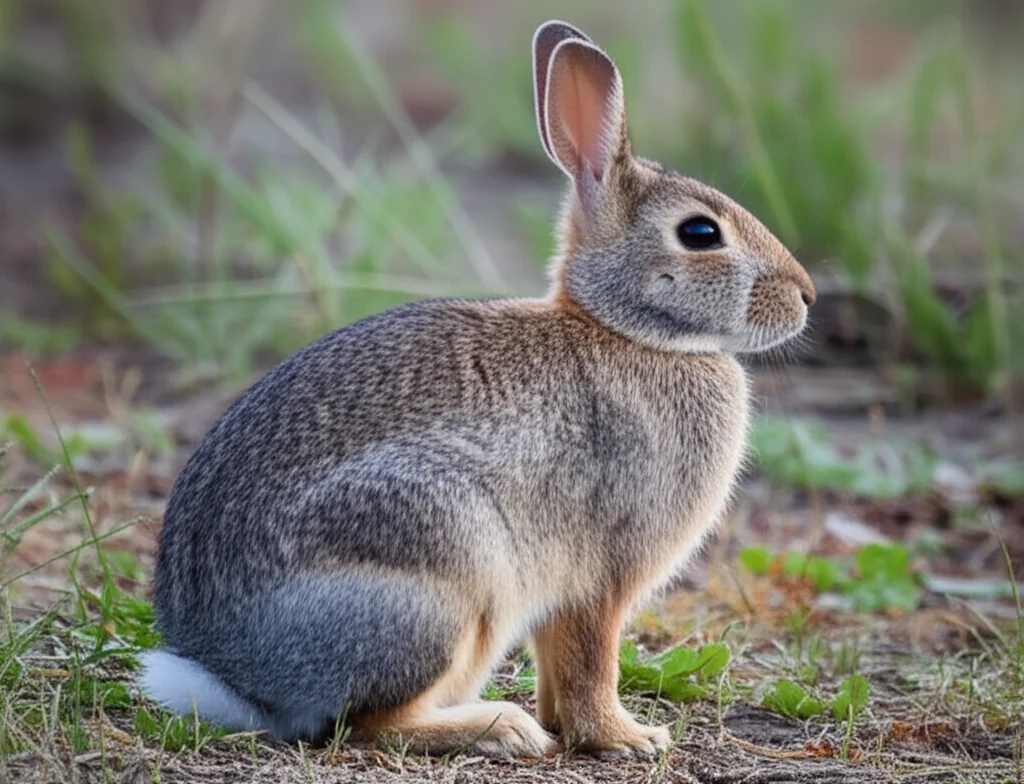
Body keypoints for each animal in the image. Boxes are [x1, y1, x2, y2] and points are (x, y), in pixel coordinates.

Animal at [140, 19, 815, 759]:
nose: (808, 295)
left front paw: (573, 727)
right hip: (443, 582)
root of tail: (238, 679)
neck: (626, 332)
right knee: (368, 722)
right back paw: (503, 727)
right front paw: (629, 738)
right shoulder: (602, 575)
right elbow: (593, 664)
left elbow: (560, 666)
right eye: (700, 233)